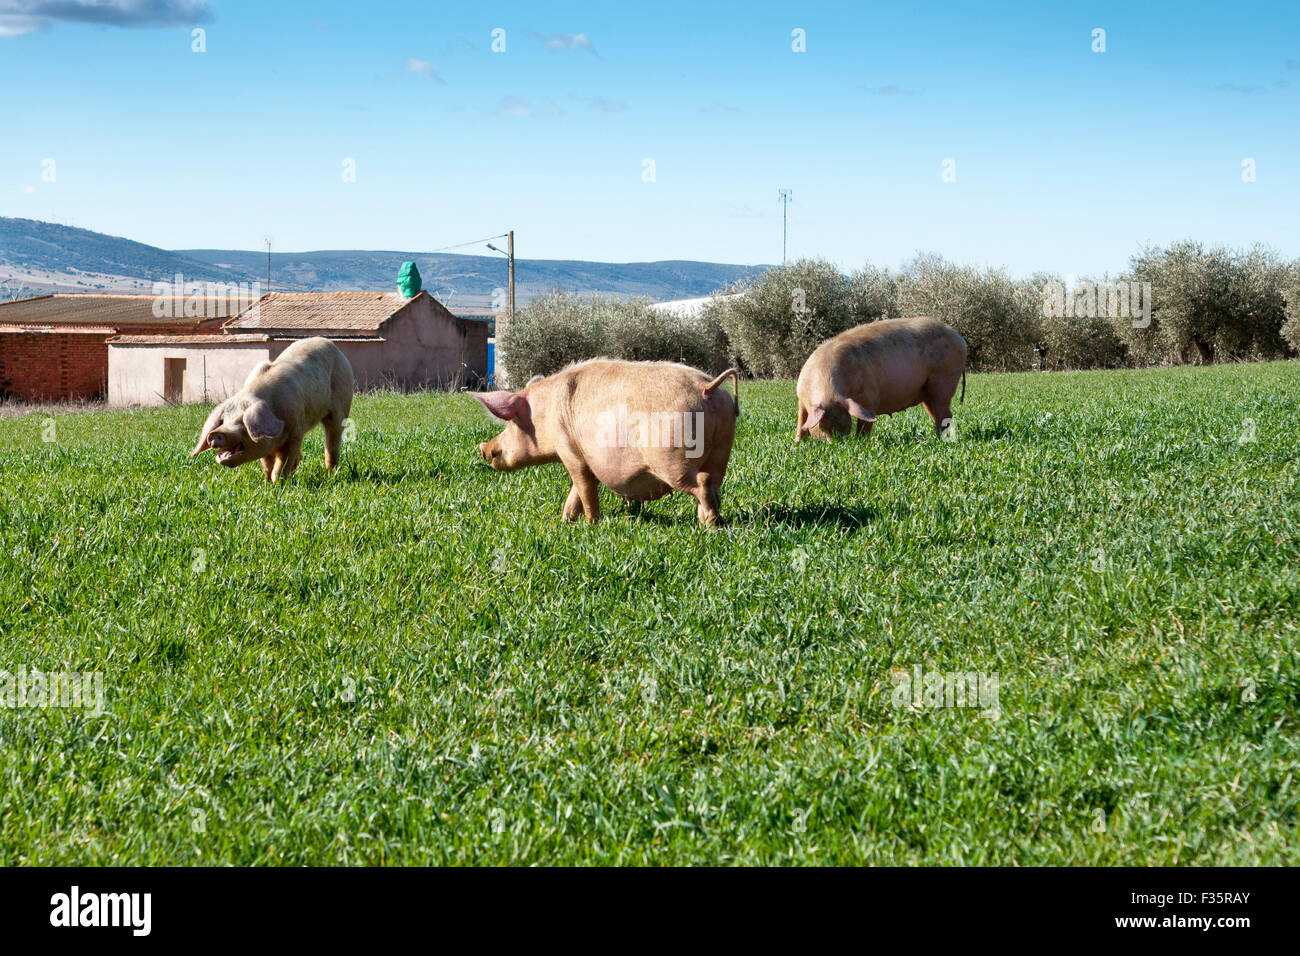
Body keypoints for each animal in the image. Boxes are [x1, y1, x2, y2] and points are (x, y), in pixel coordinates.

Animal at [189, 336, 354, 482]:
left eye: (242, 421)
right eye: (223, 420)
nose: (216, 433)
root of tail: (335, 348)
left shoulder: (294, 434)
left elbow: (281, 465)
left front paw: (278, 483)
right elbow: (267, 465)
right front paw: (267, 483)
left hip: (342, 406)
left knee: (332, 444)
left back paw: (330, 474)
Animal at [475, 359, 740, 526]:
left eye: (511, 423)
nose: (484, 449)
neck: (545, 412)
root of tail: (707, 387)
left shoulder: (569, 449)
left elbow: (584, 489)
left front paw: (591, 524)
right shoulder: (583, 457)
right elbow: (576, 493)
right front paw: (564, 521)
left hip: (672, 459)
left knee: (702, 482)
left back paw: (711, 526)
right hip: (721, 449)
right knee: (714, 484)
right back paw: (708, 522)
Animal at [795, 316, 966, 442]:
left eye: (847, 426)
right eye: (822, 427)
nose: (838, 445)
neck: (829, 389)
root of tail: (960, 339)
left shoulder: (869, 398)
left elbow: (866, 423)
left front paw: (861, 443)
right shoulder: (801, 399)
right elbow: (801, 421)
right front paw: (797, 445)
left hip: (945, 378)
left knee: (945, 412)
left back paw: (942, 439)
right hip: (927, 392)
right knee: (937, 413)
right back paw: (936, 437)